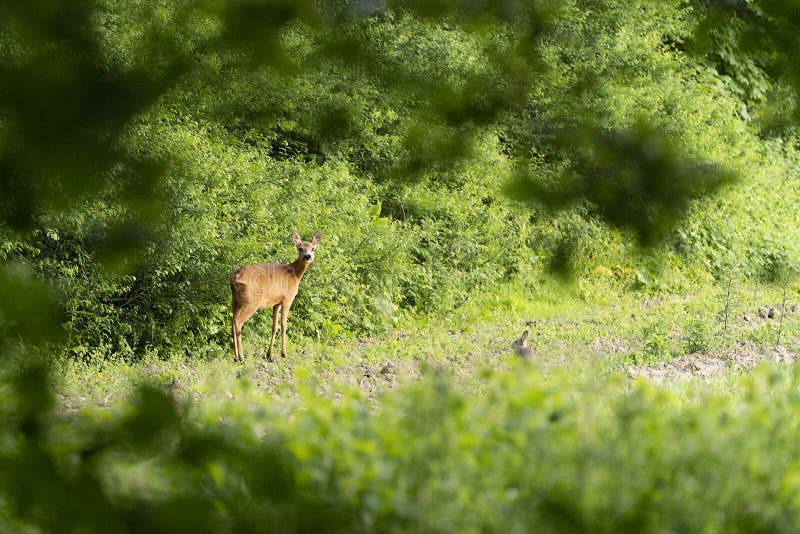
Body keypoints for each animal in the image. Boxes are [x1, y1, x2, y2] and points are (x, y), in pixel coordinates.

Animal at [230, 229, 321, 363]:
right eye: (300, 248)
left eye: (313, 248)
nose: (307, 256)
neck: (294, 274)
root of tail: (234, 278)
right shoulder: (287, 299)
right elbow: (284, 325)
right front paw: (284, 353)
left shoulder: (276, 302)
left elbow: (274, 327)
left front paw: (269, 354)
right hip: (251, 302)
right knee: (238, 322)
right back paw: (242, 356)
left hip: (235, 300)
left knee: (232, 321)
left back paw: (236, 355)